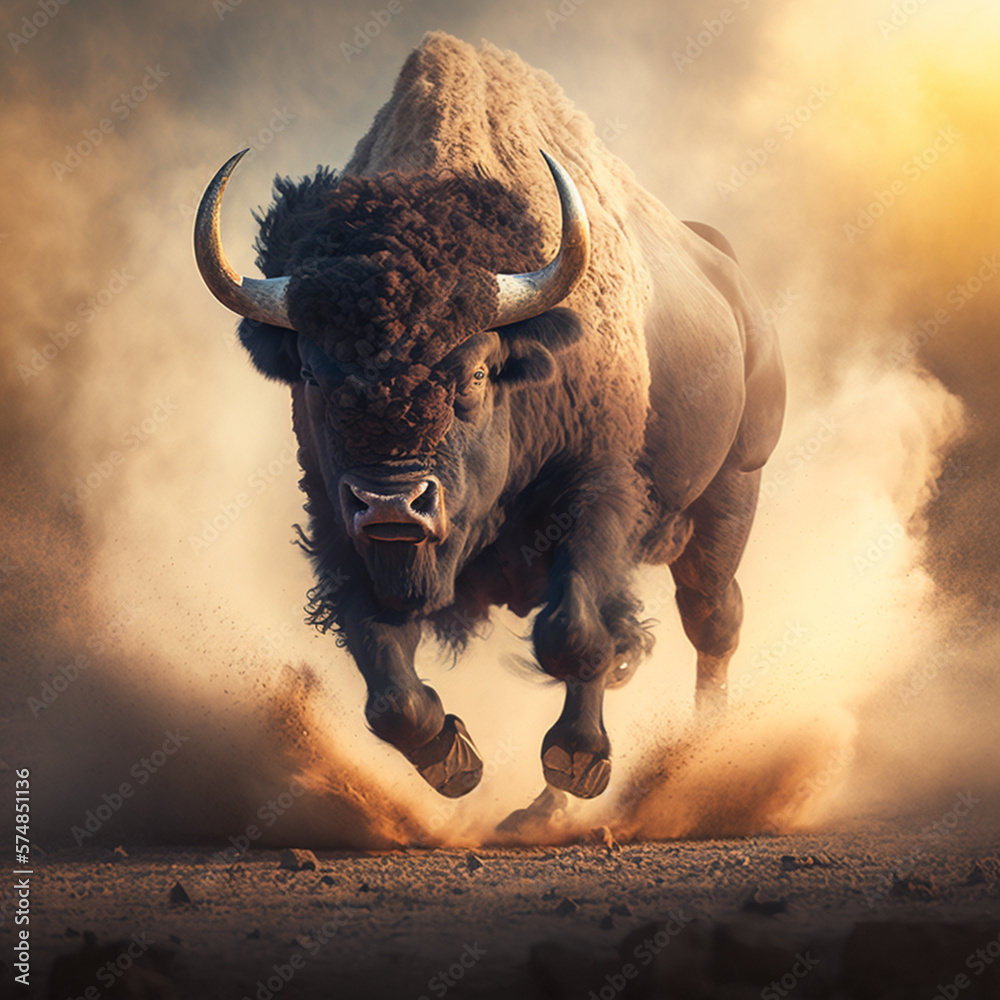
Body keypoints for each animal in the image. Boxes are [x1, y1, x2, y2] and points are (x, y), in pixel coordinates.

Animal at [193, 33, 785, 800]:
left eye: (474, 372)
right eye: (314, 374)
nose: (393, 503)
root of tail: (731, 277)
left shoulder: (598, 495)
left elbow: (573, 631)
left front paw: (578, 757)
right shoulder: (340, 531)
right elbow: (388, 689)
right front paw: (455, 758)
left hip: (731, 491)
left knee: (713, 619)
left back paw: (698, 751)